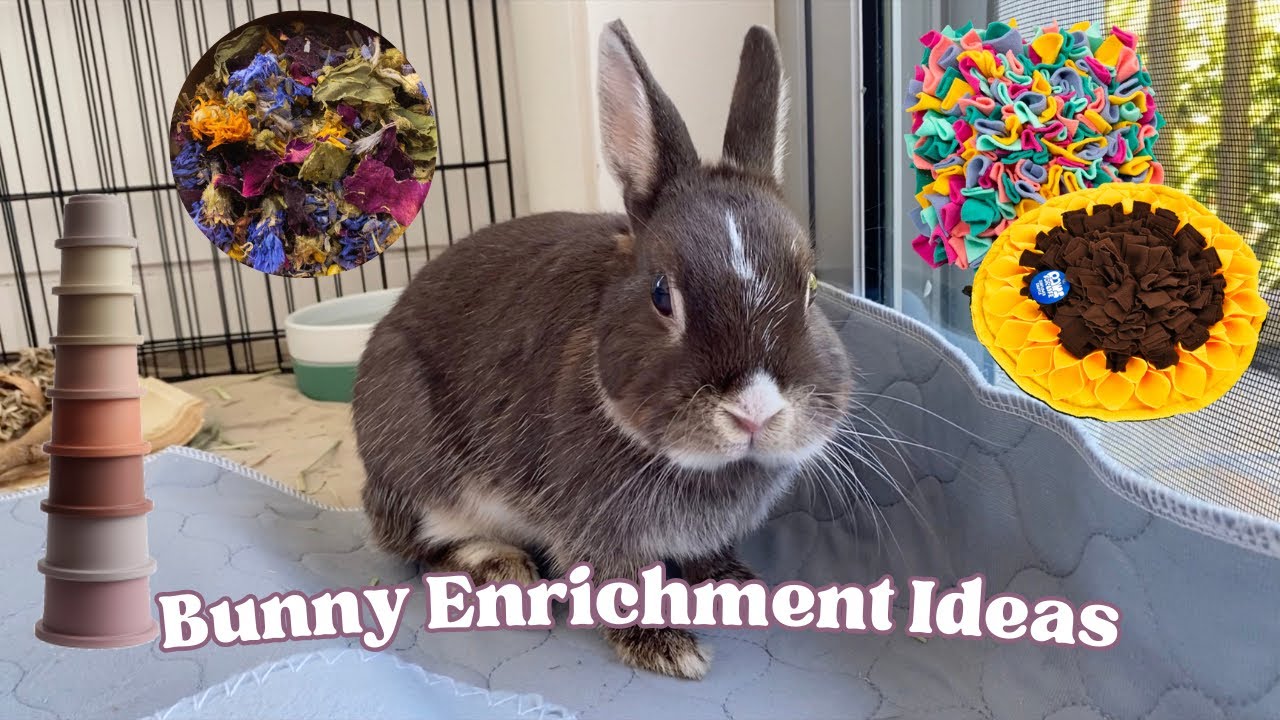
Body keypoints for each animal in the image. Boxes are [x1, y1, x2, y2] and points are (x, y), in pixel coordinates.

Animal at [352, 19, 854, 680]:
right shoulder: (596, 526)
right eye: (662, 295)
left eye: (812, 287)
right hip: (416, 456)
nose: (756, 411)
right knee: (419, 545)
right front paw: (667, 646)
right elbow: (618, 584)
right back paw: (501, 565)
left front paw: (735, 586)